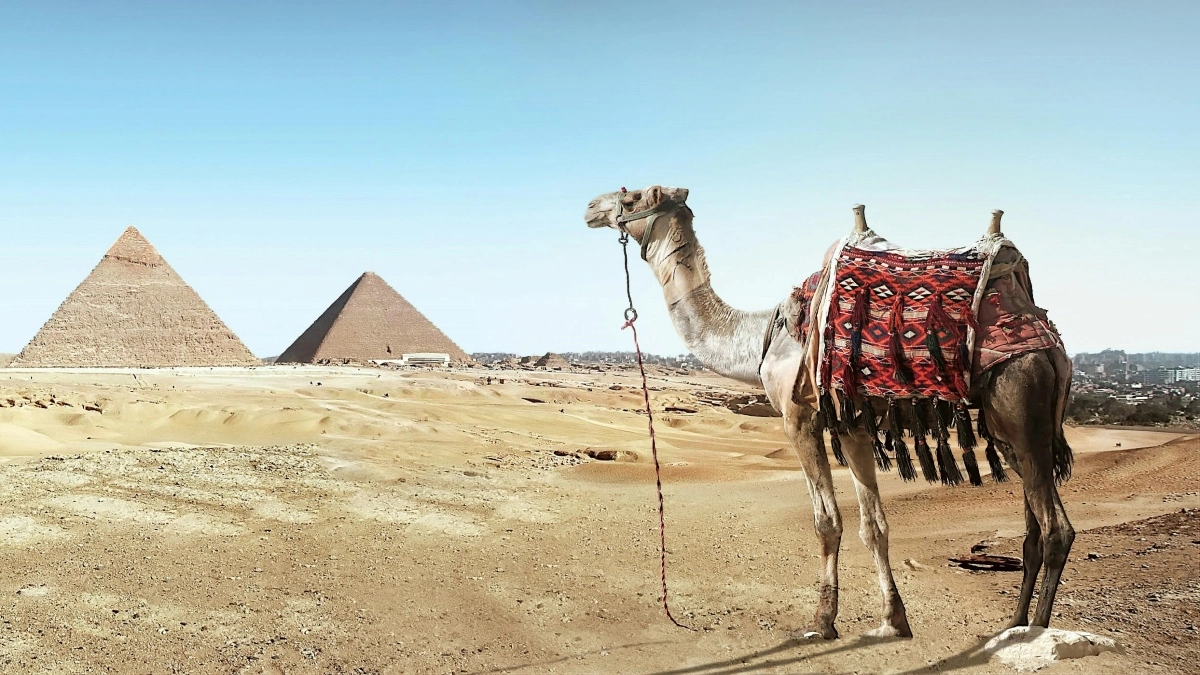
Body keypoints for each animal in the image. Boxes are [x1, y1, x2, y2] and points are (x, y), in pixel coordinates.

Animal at [583, 185, 1075, 639]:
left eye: (632, 196)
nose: (590, 207)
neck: (759, 337)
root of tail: (1051, 346)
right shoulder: (853, 425)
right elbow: (874, 526)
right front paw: (893, 620)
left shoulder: (797, 417)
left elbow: (827, 522)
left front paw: (822, 622)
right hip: (1011, 430)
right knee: (1033, 531)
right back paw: (1012, 626)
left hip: (1021, 400)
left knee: (1056, 530)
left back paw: (1037, 631)